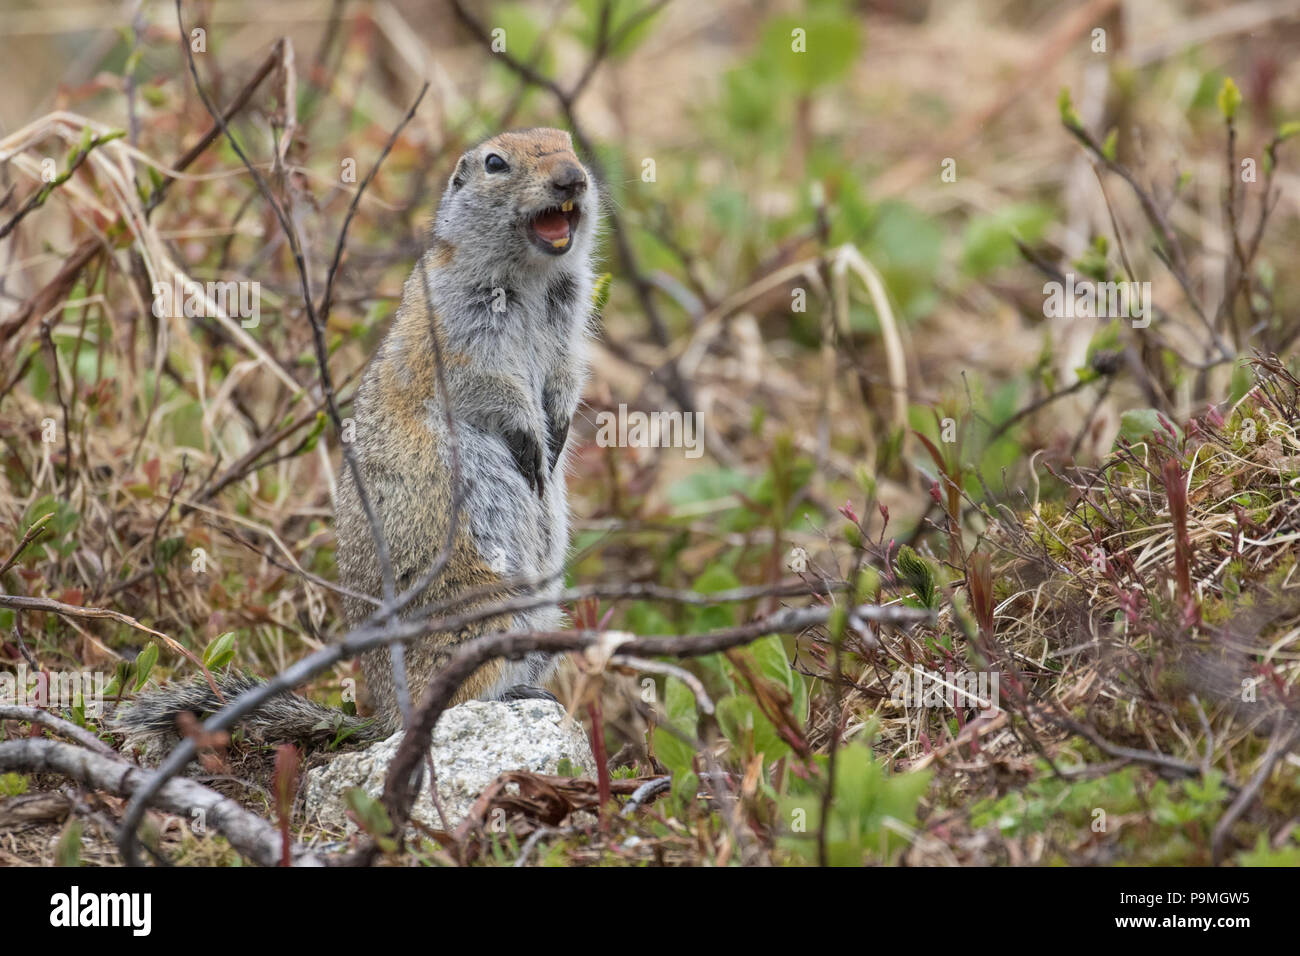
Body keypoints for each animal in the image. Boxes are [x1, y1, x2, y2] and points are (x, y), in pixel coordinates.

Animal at [114, 128, 598, 751]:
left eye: (570, 144)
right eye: (495, 163)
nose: (572, 178)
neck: (535, 278)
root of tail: (381, 716)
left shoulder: (569, 327)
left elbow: (567, 376)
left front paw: (557, 431)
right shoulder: (457, 338)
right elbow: (490, 387)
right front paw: (532, 441)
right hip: (481, 609)